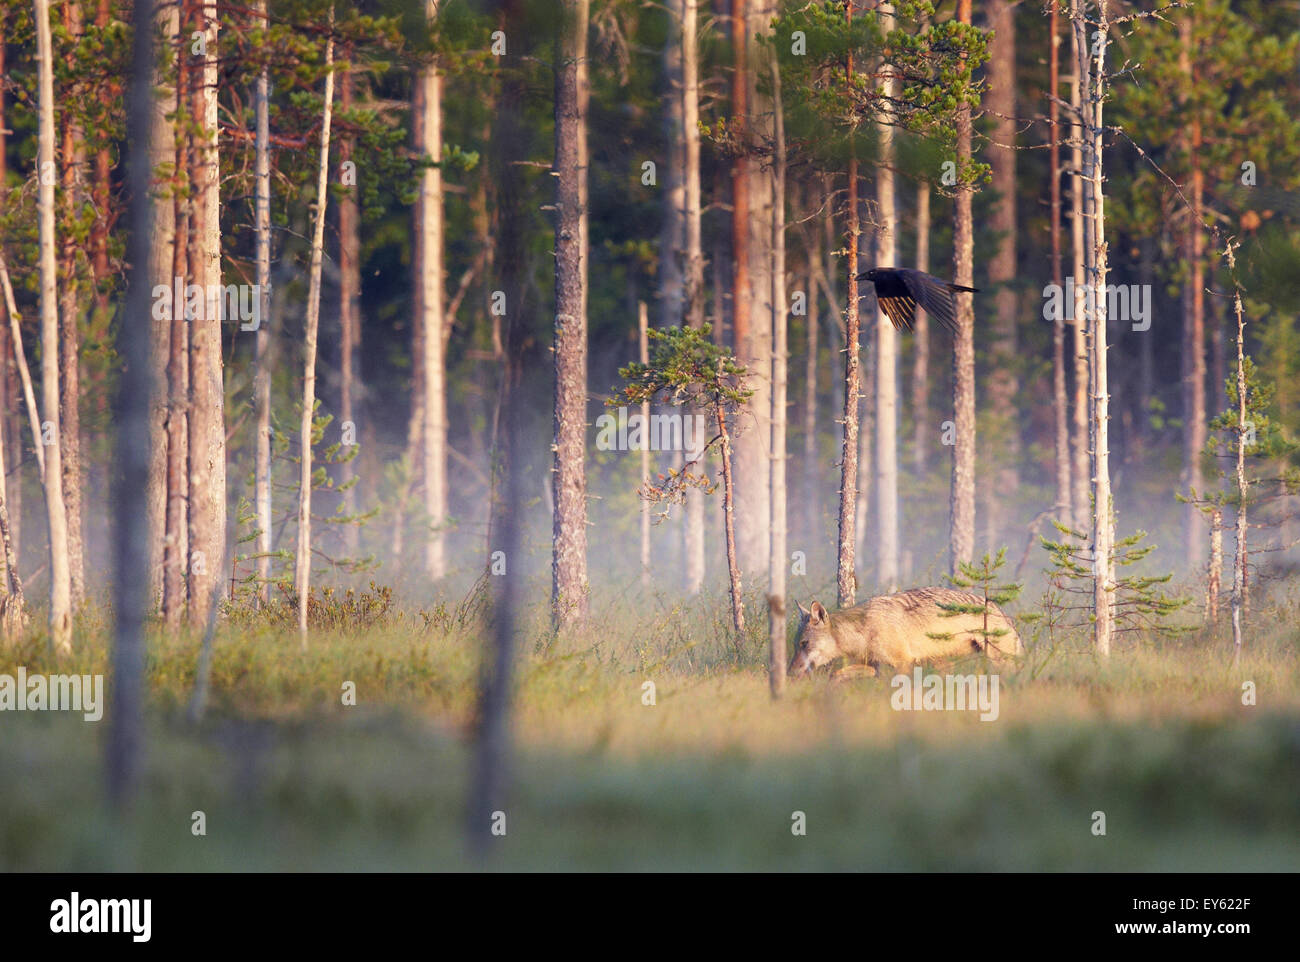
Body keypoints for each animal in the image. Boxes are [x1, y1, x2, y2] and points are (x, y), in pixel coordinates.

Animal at [789, 587, 1022, 679]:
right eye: (796, 645)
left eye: (804, 644)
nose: (790, 672)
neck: (864, 630)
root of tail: (1004, 613)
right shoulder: (873, 667)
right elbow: (836, 675)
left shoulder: (903, 663)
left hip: (999, 661)